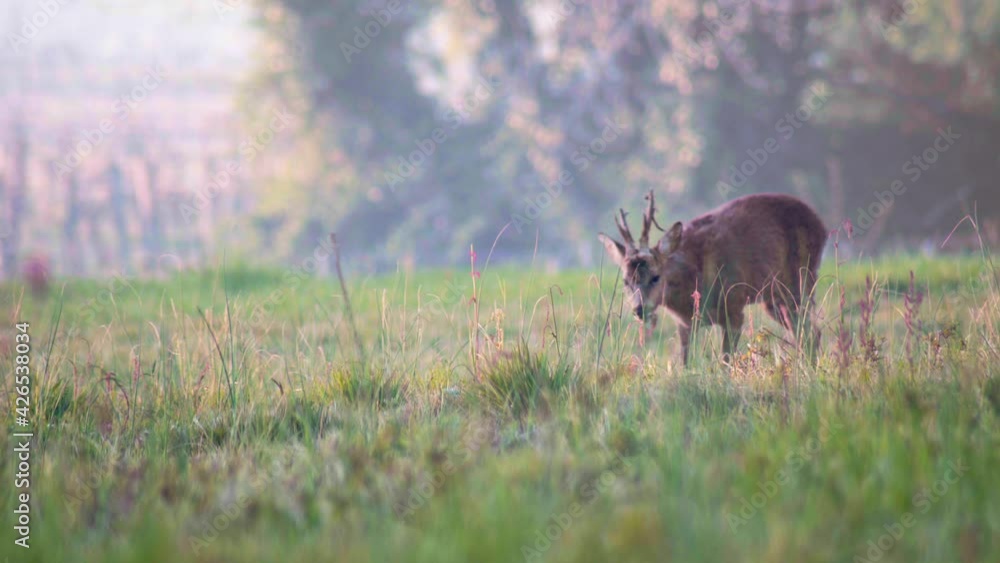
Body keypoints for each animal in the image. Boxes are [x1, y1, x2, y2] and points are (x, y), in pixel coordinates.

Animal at [598, 191, 828, 365]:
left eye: (656, 277)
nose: (639, 309)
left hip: (802, 279)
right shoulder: (685, 323)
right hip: (775, 297)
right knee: (808, 333)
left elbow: (726, 360)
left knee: (810, 332)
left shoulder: (733, 305)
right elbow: (685, 363)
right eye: (626, 282)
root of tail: (821, 225)